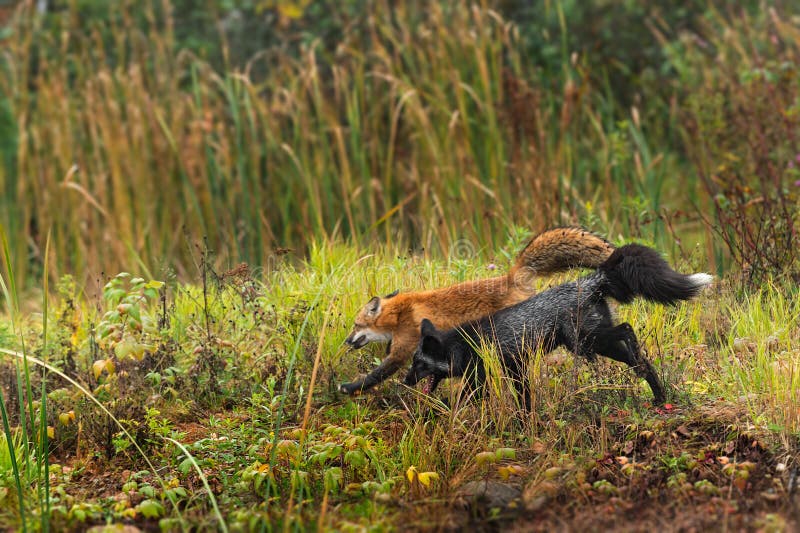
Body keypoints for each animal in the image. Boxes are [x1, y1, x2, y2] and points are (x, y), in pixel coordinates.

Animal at [339, 227, 616, 395]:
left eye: (356, 326)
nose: (346, 341)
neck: (399, 314)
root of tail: (511, 277)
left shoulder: (403, 349)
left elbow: (376, 375)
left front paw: (350, 388)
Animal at [402, 243, 714, 409]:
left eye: (419, 363)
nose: (405, 382)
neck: (463, 344)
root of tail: (589, 281)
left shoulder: (492, 372)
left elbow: (471, 401)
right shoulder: (514, 369)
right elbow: (523, 398)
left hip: (584, 341)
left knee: (626, 328)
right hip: (597, 343)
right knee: (640, 359)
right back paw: (658, 393)